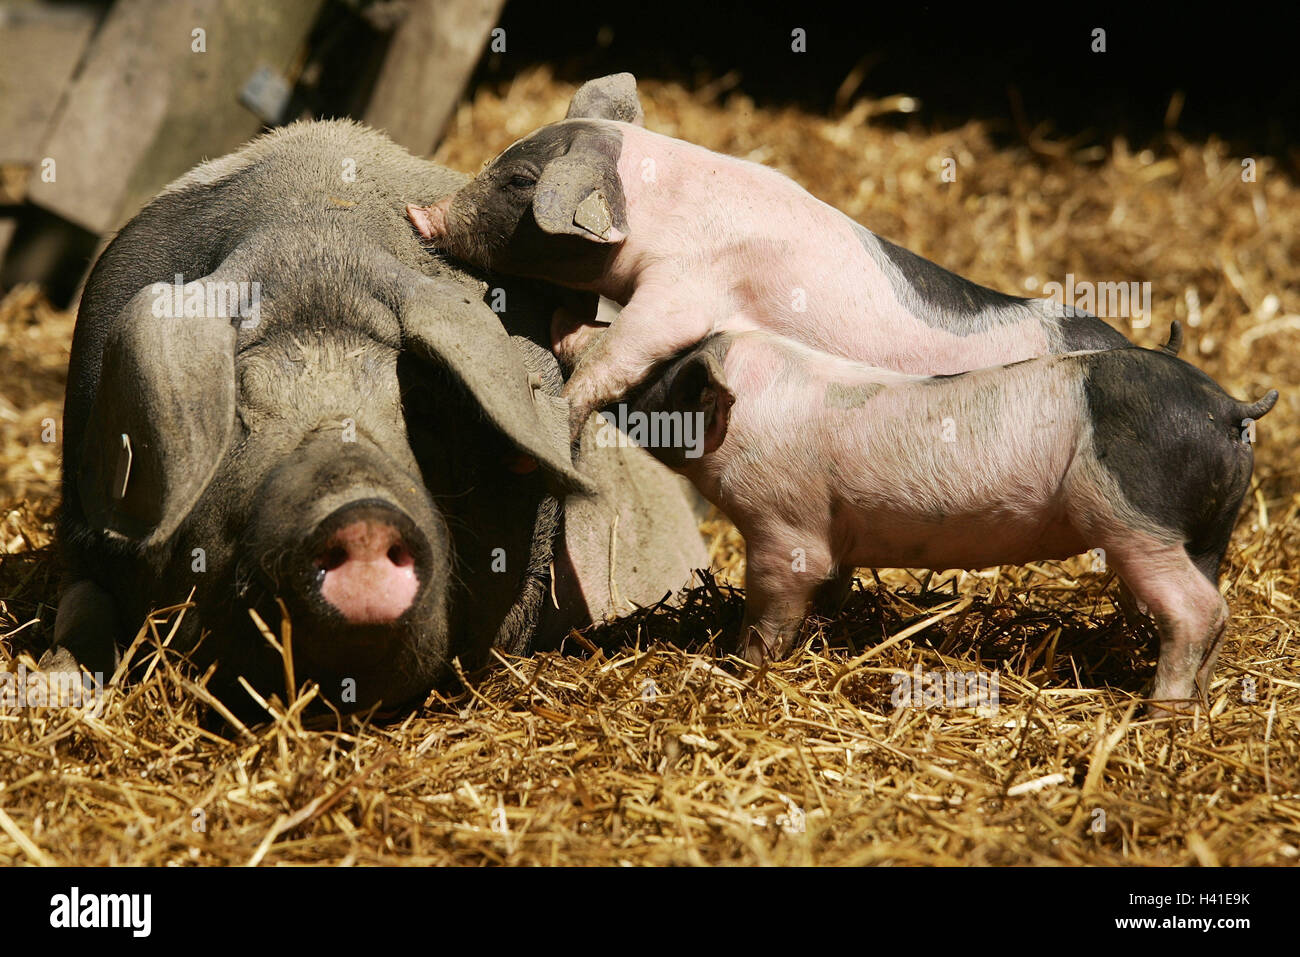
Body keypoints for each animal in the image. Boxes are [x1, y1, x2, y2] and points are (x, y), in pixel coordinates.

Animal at [41, 110, 707, 719]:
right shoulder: (80, 518)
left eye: (419, 409)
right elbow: (80, 605)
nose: (360, 516)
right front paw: (54, 691)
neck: (317, 243)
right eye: (240, 409)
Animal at [406, 73, 1134, 442]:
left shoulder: (688, 286)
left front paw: (560, 419)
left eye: (520, 182)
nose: (421, 214)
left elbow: (630, 345)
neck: (659, 208)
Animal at [623, 329, 1277, 707]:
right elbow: (829, 588)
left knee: (1196, 610)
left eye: (667, 382)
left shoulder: (781, 523)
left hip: (1134, 521)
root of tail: (1228, 407)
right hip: (1208, 534)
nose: (615, 402)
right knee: (1215, 607)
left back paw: (1156, 711)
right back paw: (1202, 701)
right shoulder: (832, 534)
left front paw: (739, 667)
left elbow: (775, 601)